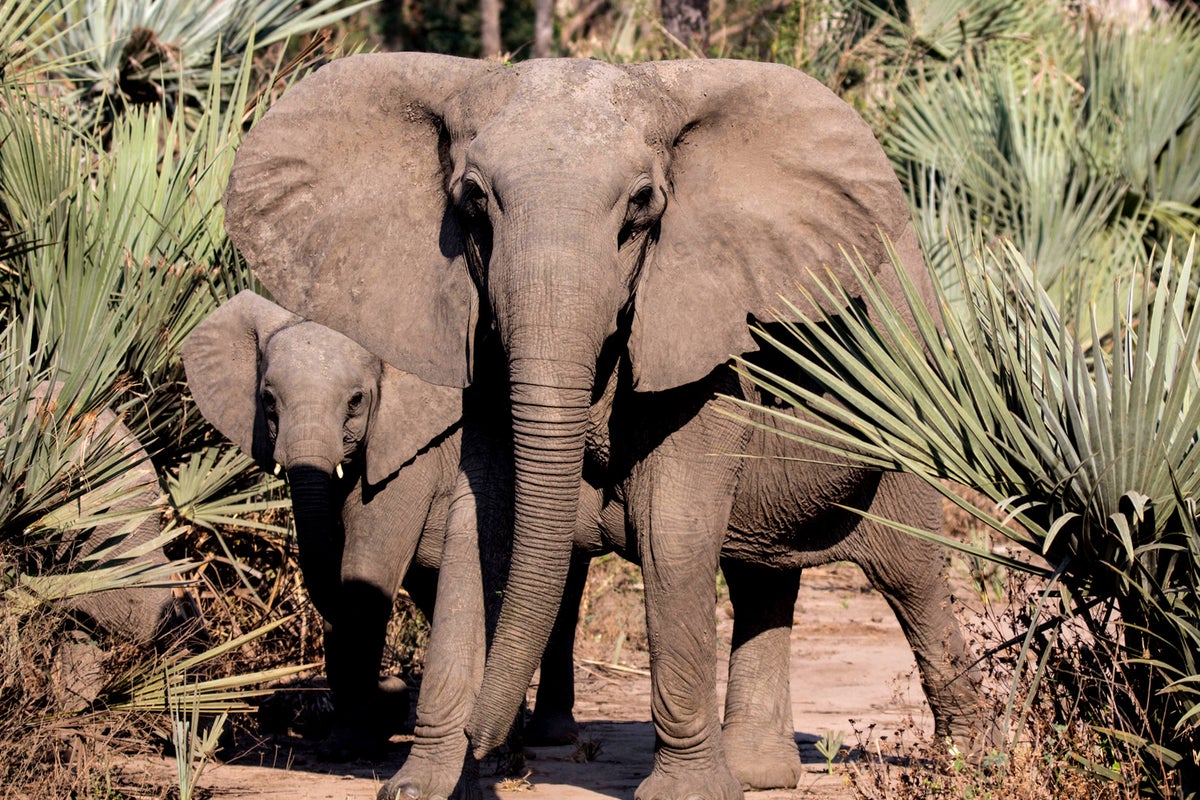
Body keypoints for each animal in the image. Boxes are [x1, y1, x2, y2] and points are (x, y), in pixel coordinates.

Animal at [221, 55, 989, 800]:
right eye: (474, 203)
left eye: (642, 206)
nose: (488, 751)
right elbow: (484, 521)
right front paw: (422, 788)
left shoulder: (697, 330)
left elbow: (673, 529)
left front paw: (686, 797)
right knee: (760, 577)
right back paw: (759, 775)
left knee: (913, 579)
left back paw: (965, 762)